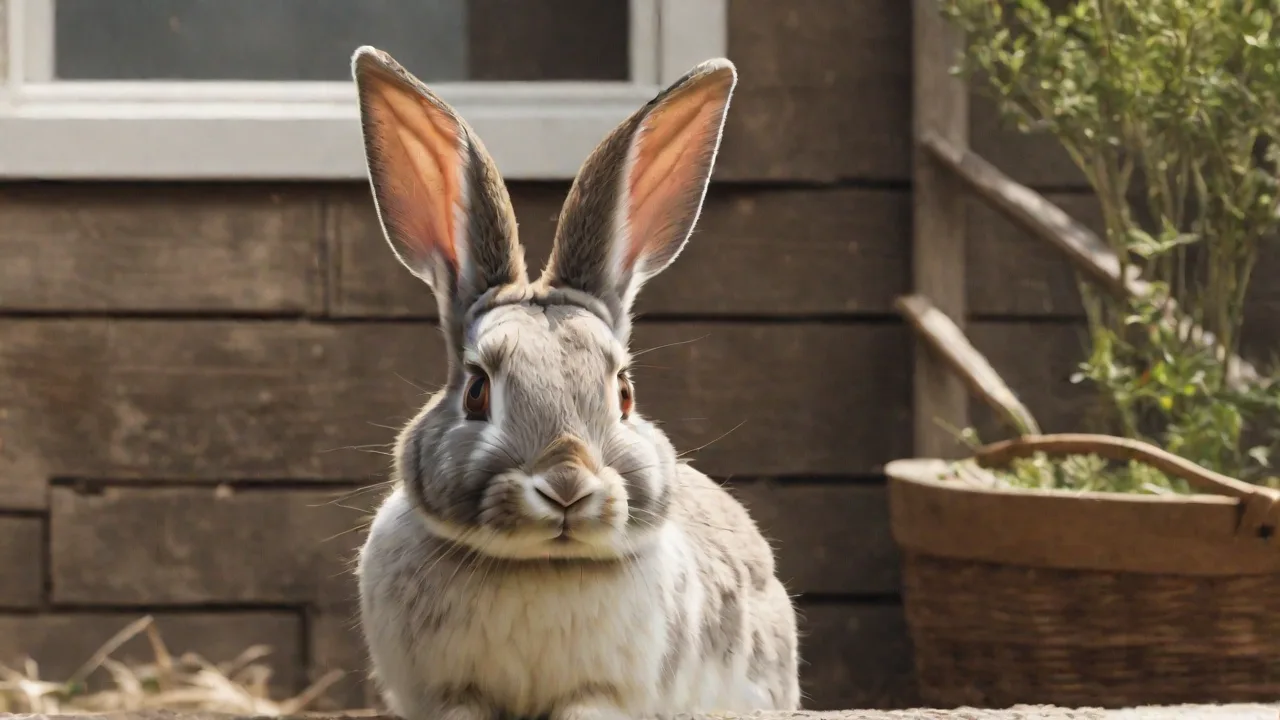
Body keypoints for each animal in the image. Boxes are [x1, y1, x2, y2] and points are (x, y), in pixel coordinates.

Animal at [350, 44, 801, 720]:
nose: (566, 485)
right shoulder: (453, 694)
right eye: (477, 390)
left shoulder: (603, 694)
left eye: (625, 394)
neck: (540, 565)